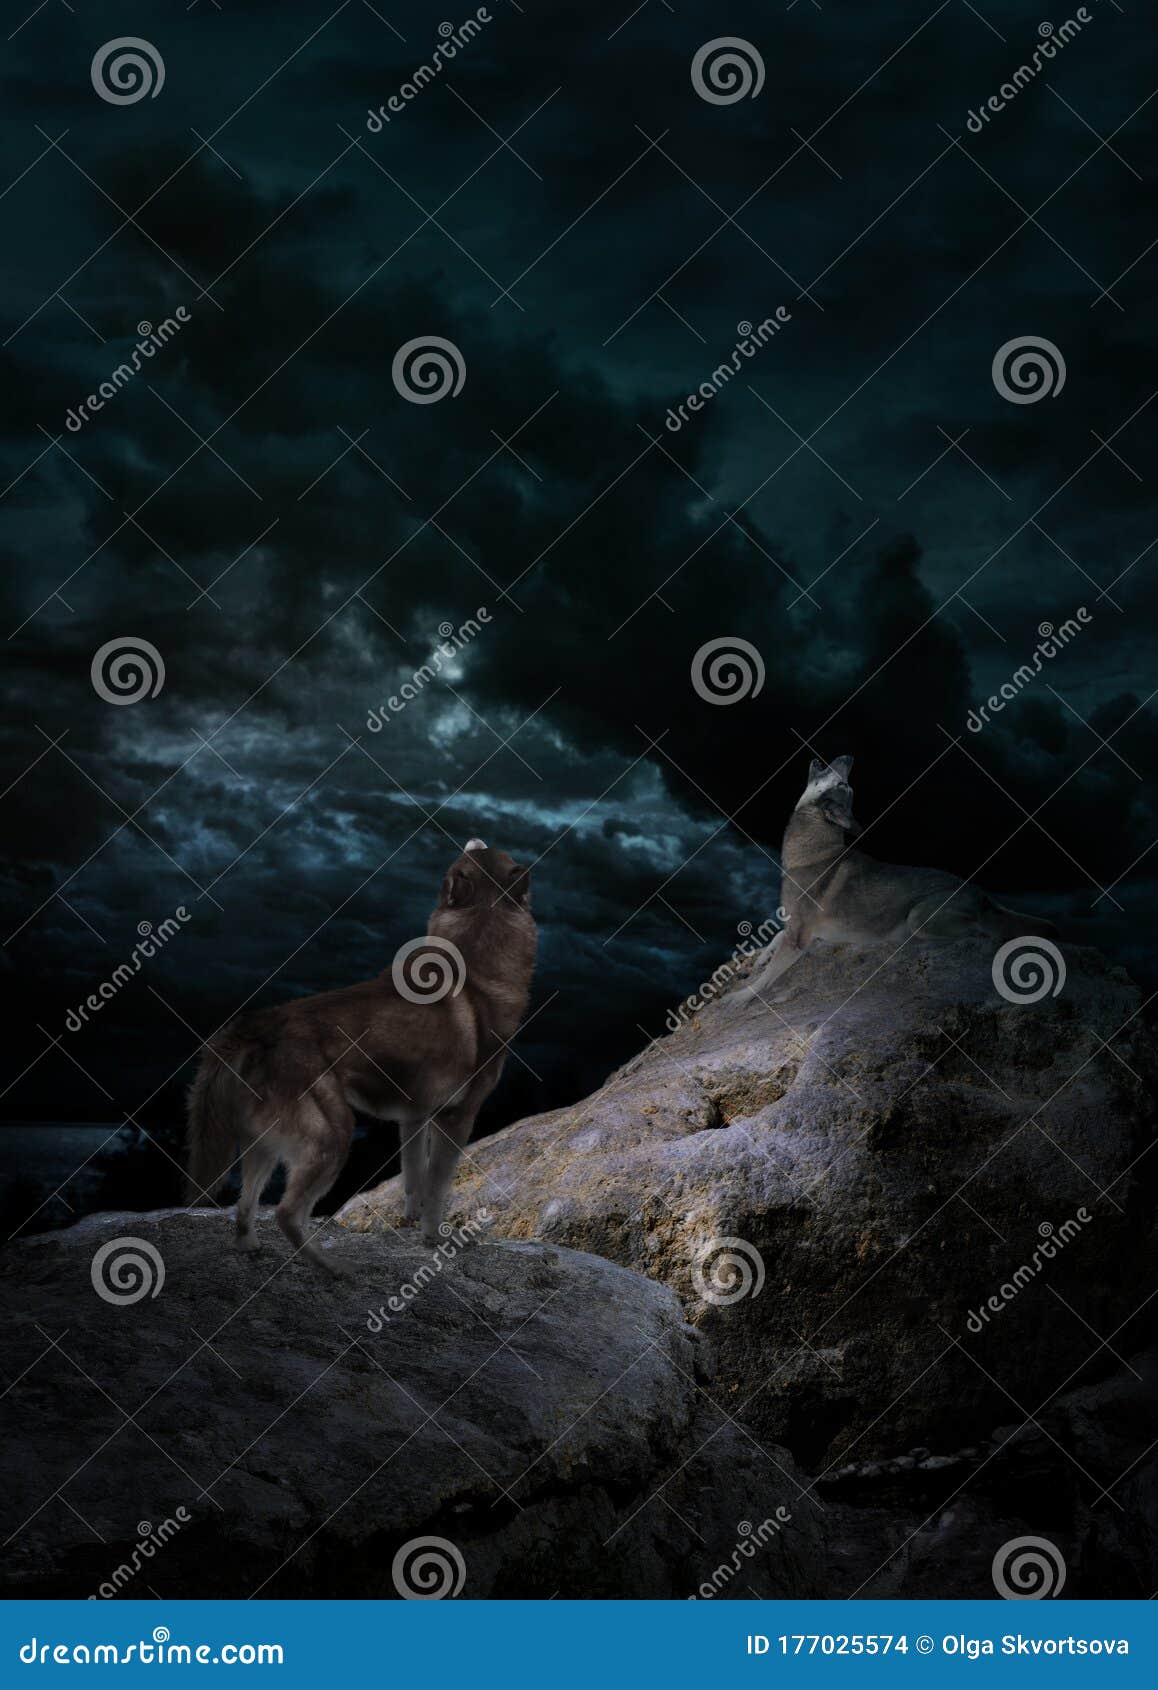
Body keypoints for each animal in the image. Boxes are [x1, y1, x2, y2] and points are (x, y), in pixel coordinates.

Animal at [185, 840, 535, 1266]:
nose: (473, 840)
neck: (476, 956)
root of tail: (255, 1025)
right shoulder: (456, 1117)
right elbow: (437, 1187)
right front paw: (434, 1238)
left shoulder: (415, 1116)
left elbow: (413, 1178)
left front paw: (409, 1221)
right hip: (332, 1135)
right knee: (287, 1212)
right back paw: (332, 1267)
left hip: (264, 1143)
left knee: (244, 1206)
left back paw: (252, 1247)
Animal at [752, 756, 1057, 991]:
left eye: (844, 784)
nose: (850, 757)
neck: (812, 850)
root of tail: (981, 893)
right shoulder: (802, 931)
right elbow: (775, 938)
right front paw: (760, 958)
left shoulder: (800, 938)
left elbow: (763, 981)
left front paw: (744, 996)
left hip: (920, 918)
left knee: (981, 935)